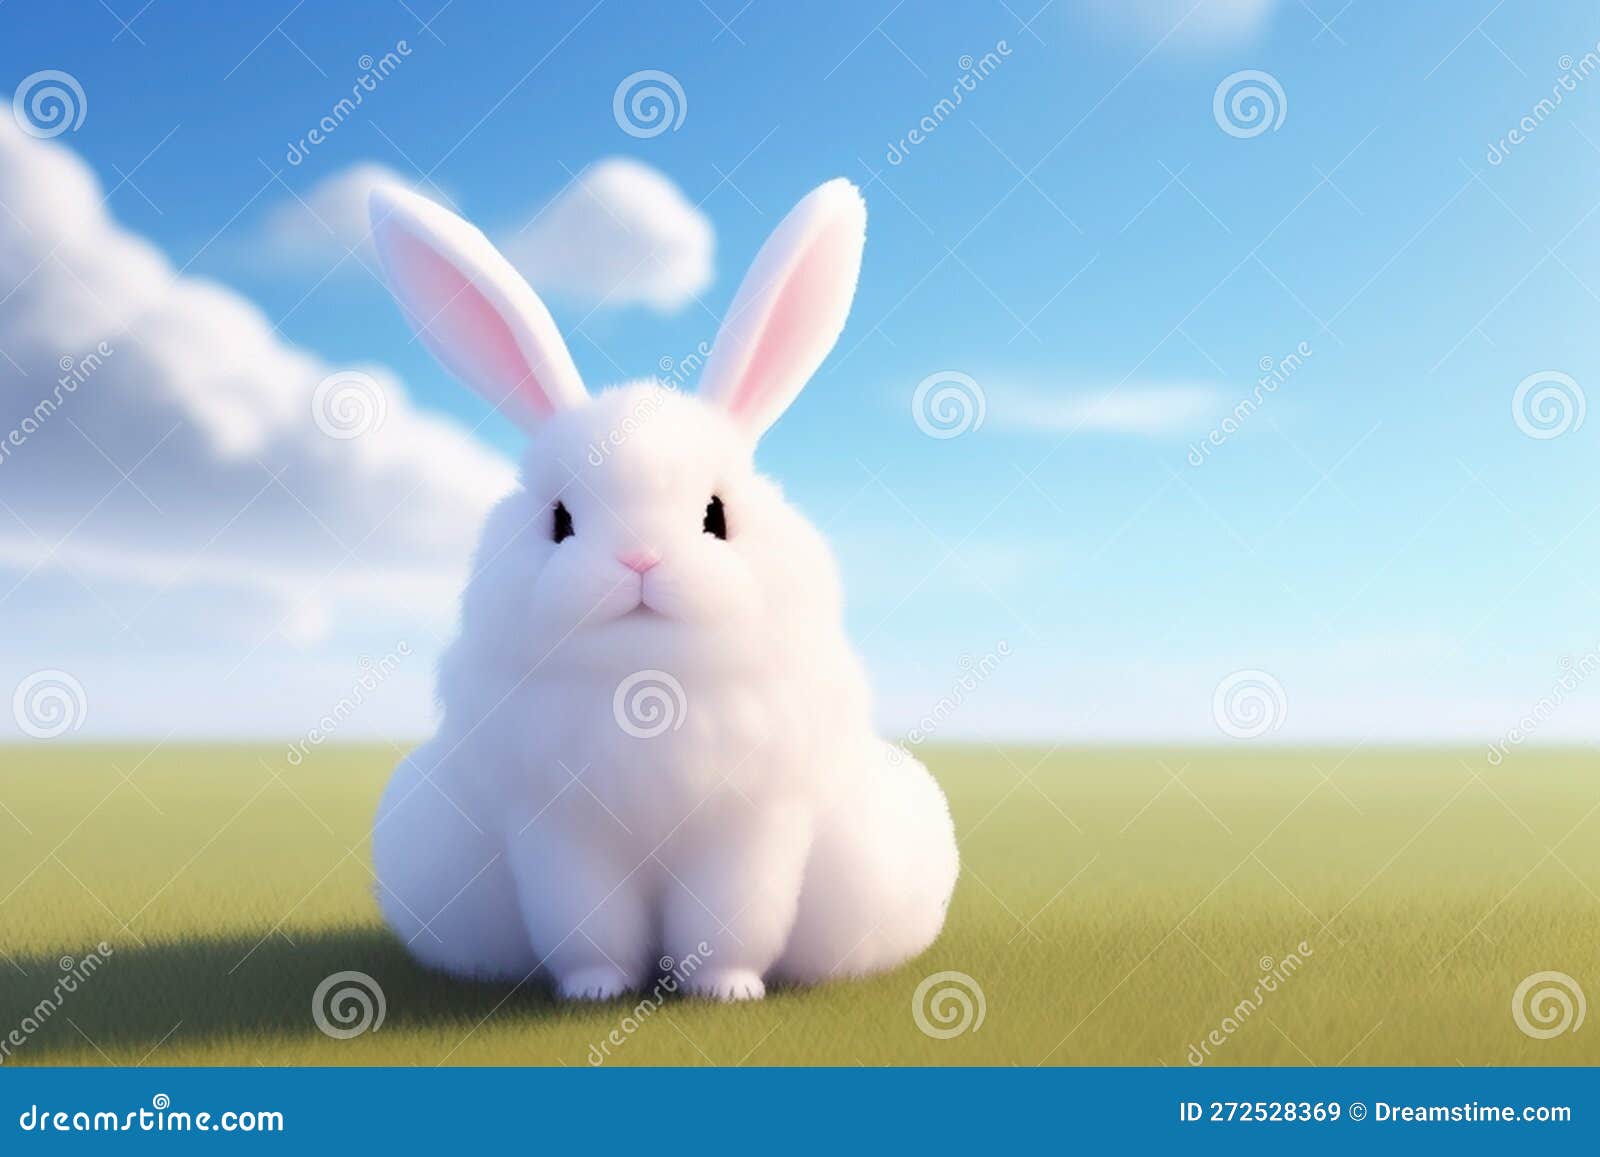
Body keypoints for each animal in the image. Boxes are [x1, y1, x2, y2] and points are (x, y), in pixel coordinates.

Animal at [367, 177, 958, 1001]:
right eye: (560, 519)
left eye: (716, 515)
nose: (640, 558)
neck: (646, 691)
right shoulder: (559, 830)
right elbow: (590, 926)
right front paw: (595, 990)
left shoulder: (749, 825)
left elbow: (728, 923)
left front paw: (728, 989)